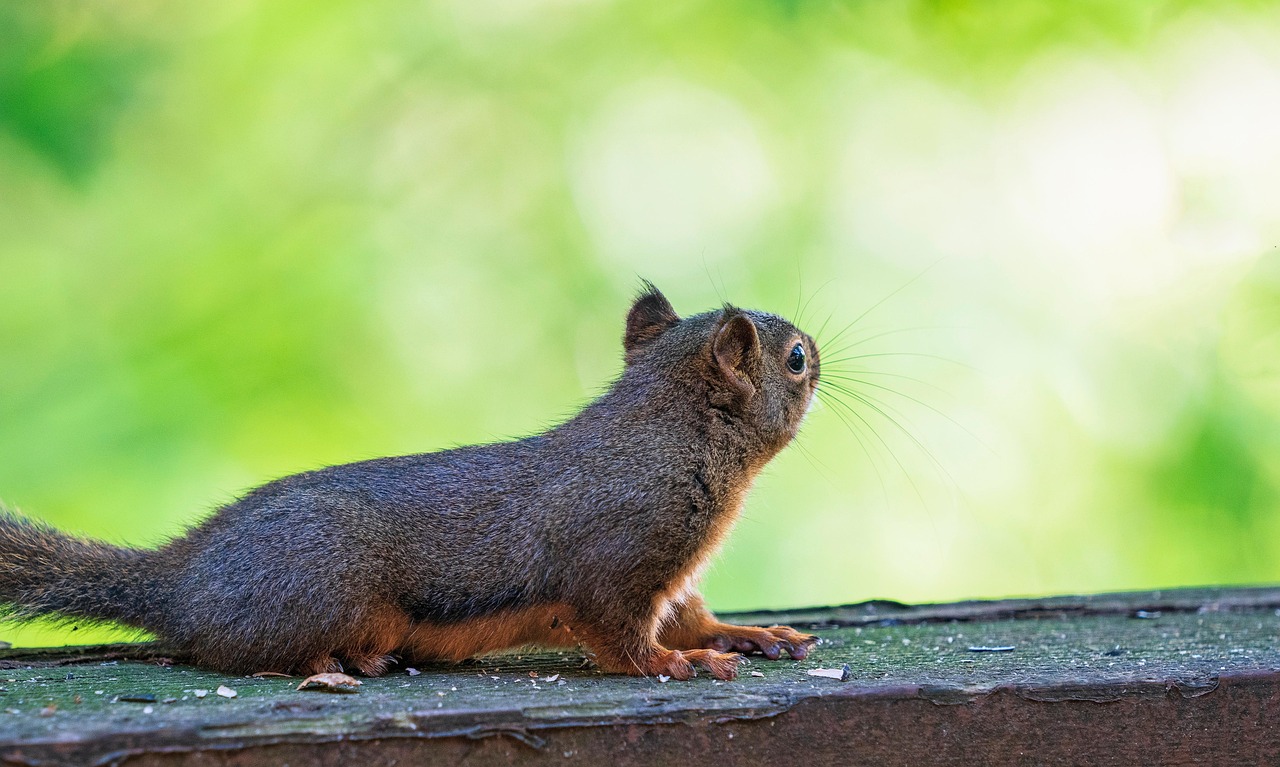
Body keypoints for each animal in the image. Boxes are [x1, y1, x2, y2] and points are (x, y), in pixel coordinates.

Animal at [0, 284, 819, 681]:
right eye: (797, 359)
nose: (821, 358)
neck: (669, 441)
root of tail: (182, 583)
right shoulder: (620, 557)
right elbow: (622, 634)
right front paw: (683, 663)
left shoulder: (674, 575)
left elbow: (689, 614)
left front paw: (748, 635)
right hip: (322, 586)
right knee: (244, 651)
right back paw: (337, 661)